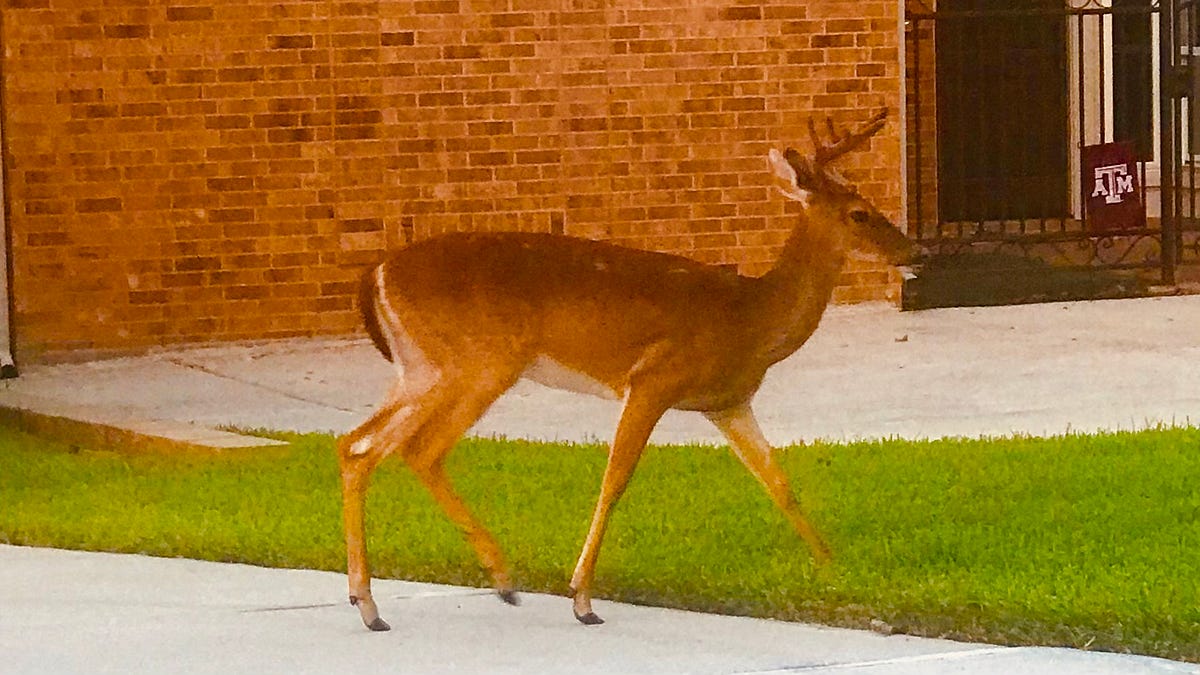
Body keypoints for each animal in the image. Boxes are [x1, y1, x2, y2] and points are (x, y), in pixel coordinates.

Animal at [338, 108, 916, 631]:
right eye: (860, 212)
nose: (915, 250)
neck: (752, 318)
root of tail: (377, 273)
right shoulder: (653, 379)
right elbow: (615, 478)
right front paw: (581, 597)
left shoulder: (729, 402)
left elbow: (779, 483)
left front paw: (833, 569)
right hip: (479, 362)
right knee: (417, 449)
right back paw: (493, 582)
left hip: (419, 368)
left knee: (356, 445)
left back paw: (371, 604)